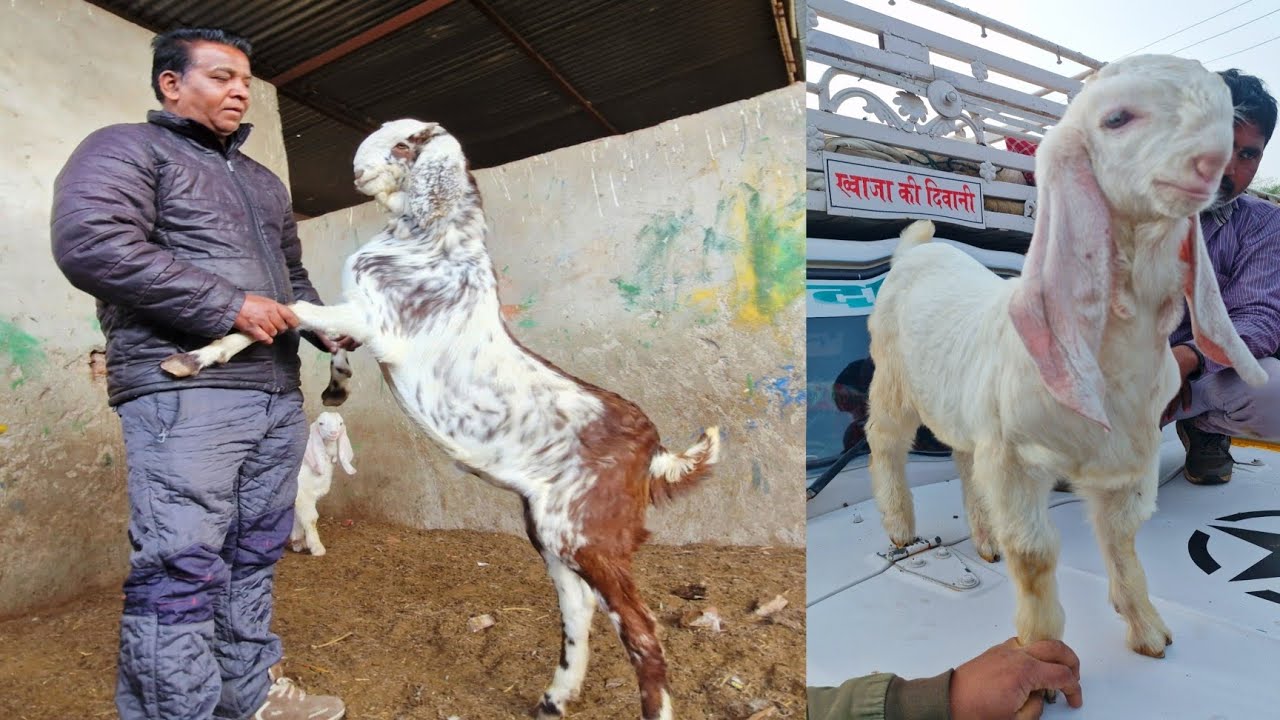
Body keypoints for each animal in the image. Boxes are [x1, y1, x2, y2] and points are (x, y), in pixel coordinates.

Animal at [290, 411, 355, 556]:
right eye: (321, 423)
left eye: (340, 423)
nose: (334, 433)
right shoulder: (302, 493)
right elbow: (311, 519)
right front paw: (316, 547)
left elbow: (297, 517)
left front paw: (297, 541)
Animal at [865, 54, 1268, 659]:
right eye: (1116, 118)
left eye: (1229, 120)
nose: (1213, 169)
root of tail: (919, 246)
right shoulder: (1015, 459)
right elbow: (1034, 555)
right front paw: (1038, 652)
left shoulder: (1126, 460)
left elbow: (1123, 540)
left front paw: (1147, 629)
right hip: (891, 376)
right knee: (885, 439)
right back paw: (898, 526)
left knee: (963, 457)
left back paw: (984, 538)